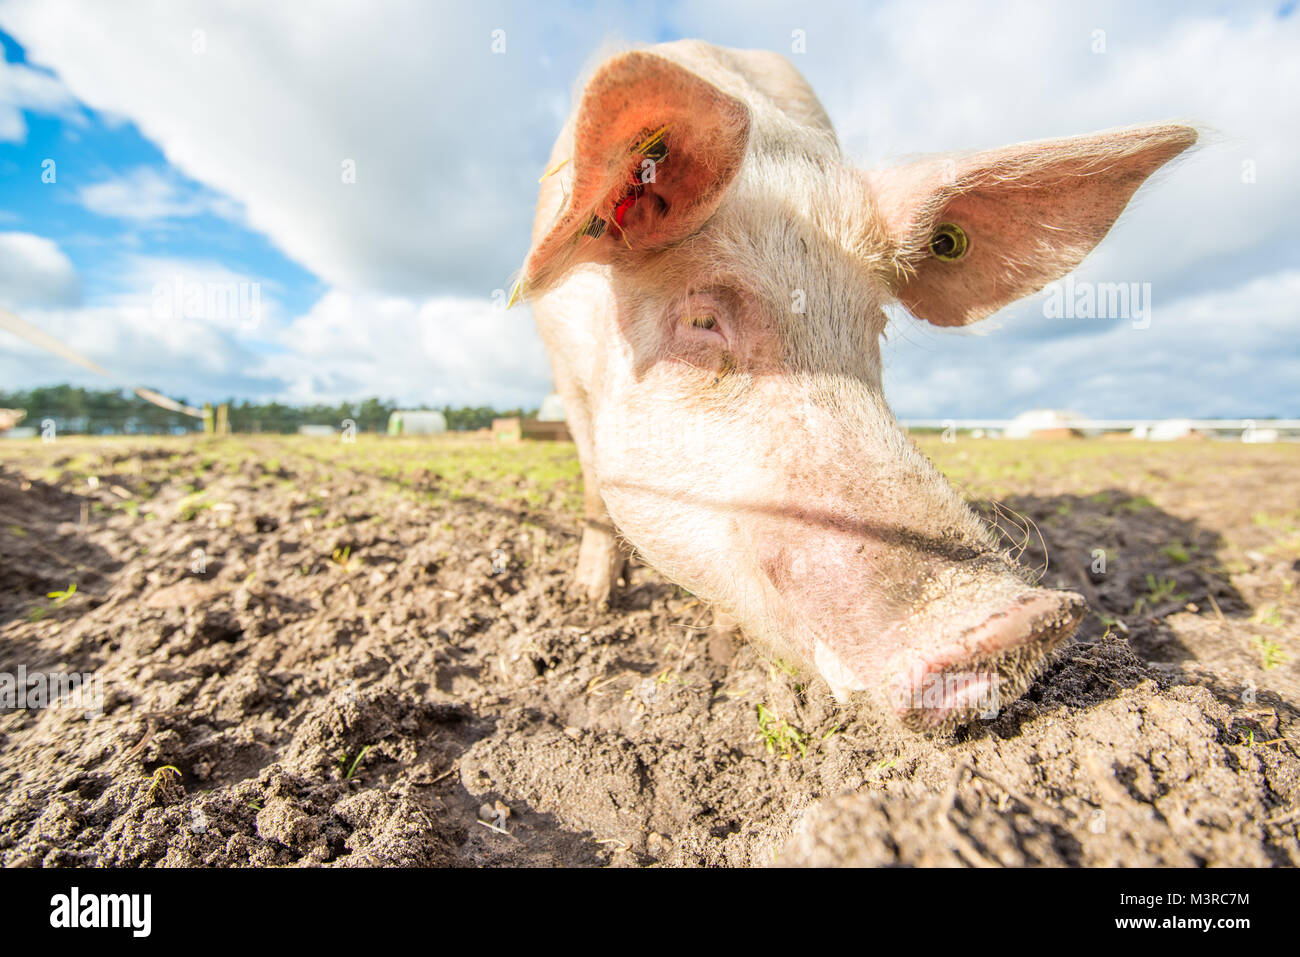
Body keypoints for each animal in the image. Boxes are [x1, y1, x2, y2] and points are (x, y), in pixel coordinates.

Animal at [517, 40, 1195, 731]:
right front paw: (593, 599)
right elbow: (596, 480)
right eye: (703, 321)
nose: (1022, 619)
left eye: (876, 328)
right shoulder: (563, 364)